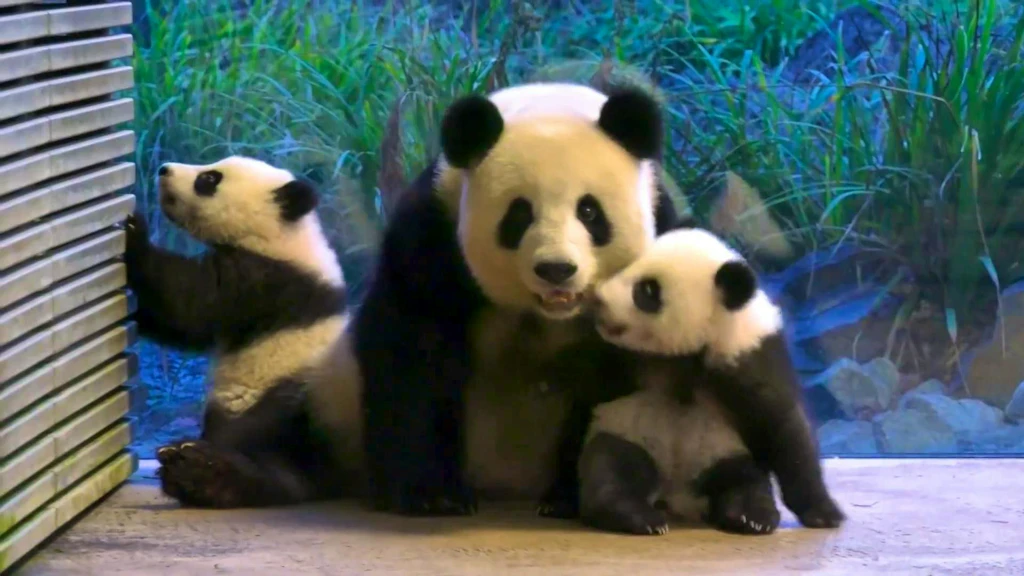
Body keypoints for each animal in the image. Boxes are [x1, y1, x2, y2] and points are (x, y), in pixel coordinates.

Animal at [123, 155, 349, 506]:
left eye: (210, 179)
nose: (164, 169)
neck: (286, 237)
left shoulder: (268, 283)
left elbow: (190, 304)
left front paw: (135, 234)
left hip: (301, 399)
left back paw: (197, 466)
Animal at [149, 81, 684, 515]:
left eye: (590, 212)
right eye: (519, 215)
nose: (556, 269)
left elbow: (612, 379)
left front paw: (569, 495)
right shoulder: (434, 232)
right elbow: (416, 350)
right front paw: (434, 495)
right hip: (324, 398)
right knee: (280, 450)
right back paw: (200, 471)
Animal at [575, 226, 846, 535]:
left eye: (647, 290)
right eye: (625, 267)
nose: (598, 300)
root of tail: (676, 497)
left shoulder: (749, 356)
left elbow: (785, 428)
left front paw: (824, 513)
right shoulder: (623, 360)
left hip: (723, 452)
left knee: (743, 480)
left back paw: (750, 516)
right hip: (629, 434)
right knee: (613, 465)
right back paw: (636, 516)